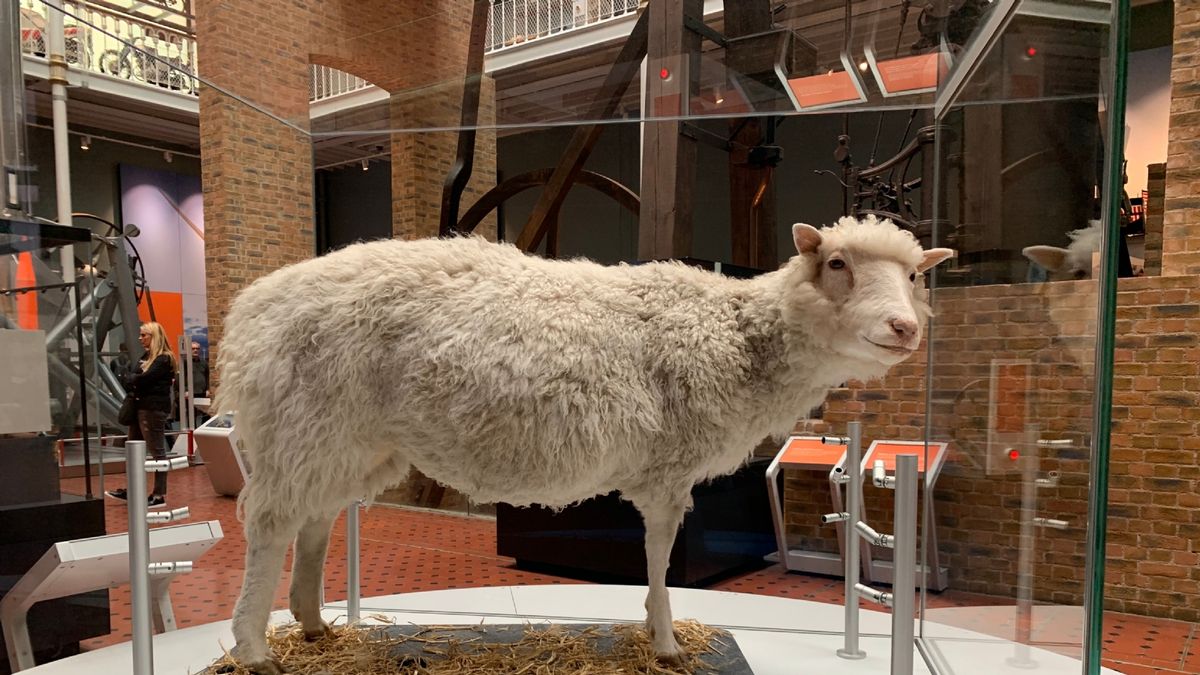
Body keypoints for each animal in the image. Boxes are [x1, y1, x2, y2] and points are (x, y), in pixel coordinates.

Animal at [217, 215, 955, 674]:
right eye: (837, 263)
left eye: (916, 277)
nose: (904, 329)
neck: (736, 336)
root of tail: (250, 309)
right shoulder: (668, 467)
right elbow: (658, 555)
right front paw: (665, 641)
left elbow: (658, 556)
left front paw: (657, 632)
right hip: (305, 423)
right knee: (270, 524)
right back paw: (254, 646)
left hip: (346, 440)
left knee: (314, 520)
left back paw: (313, 625)